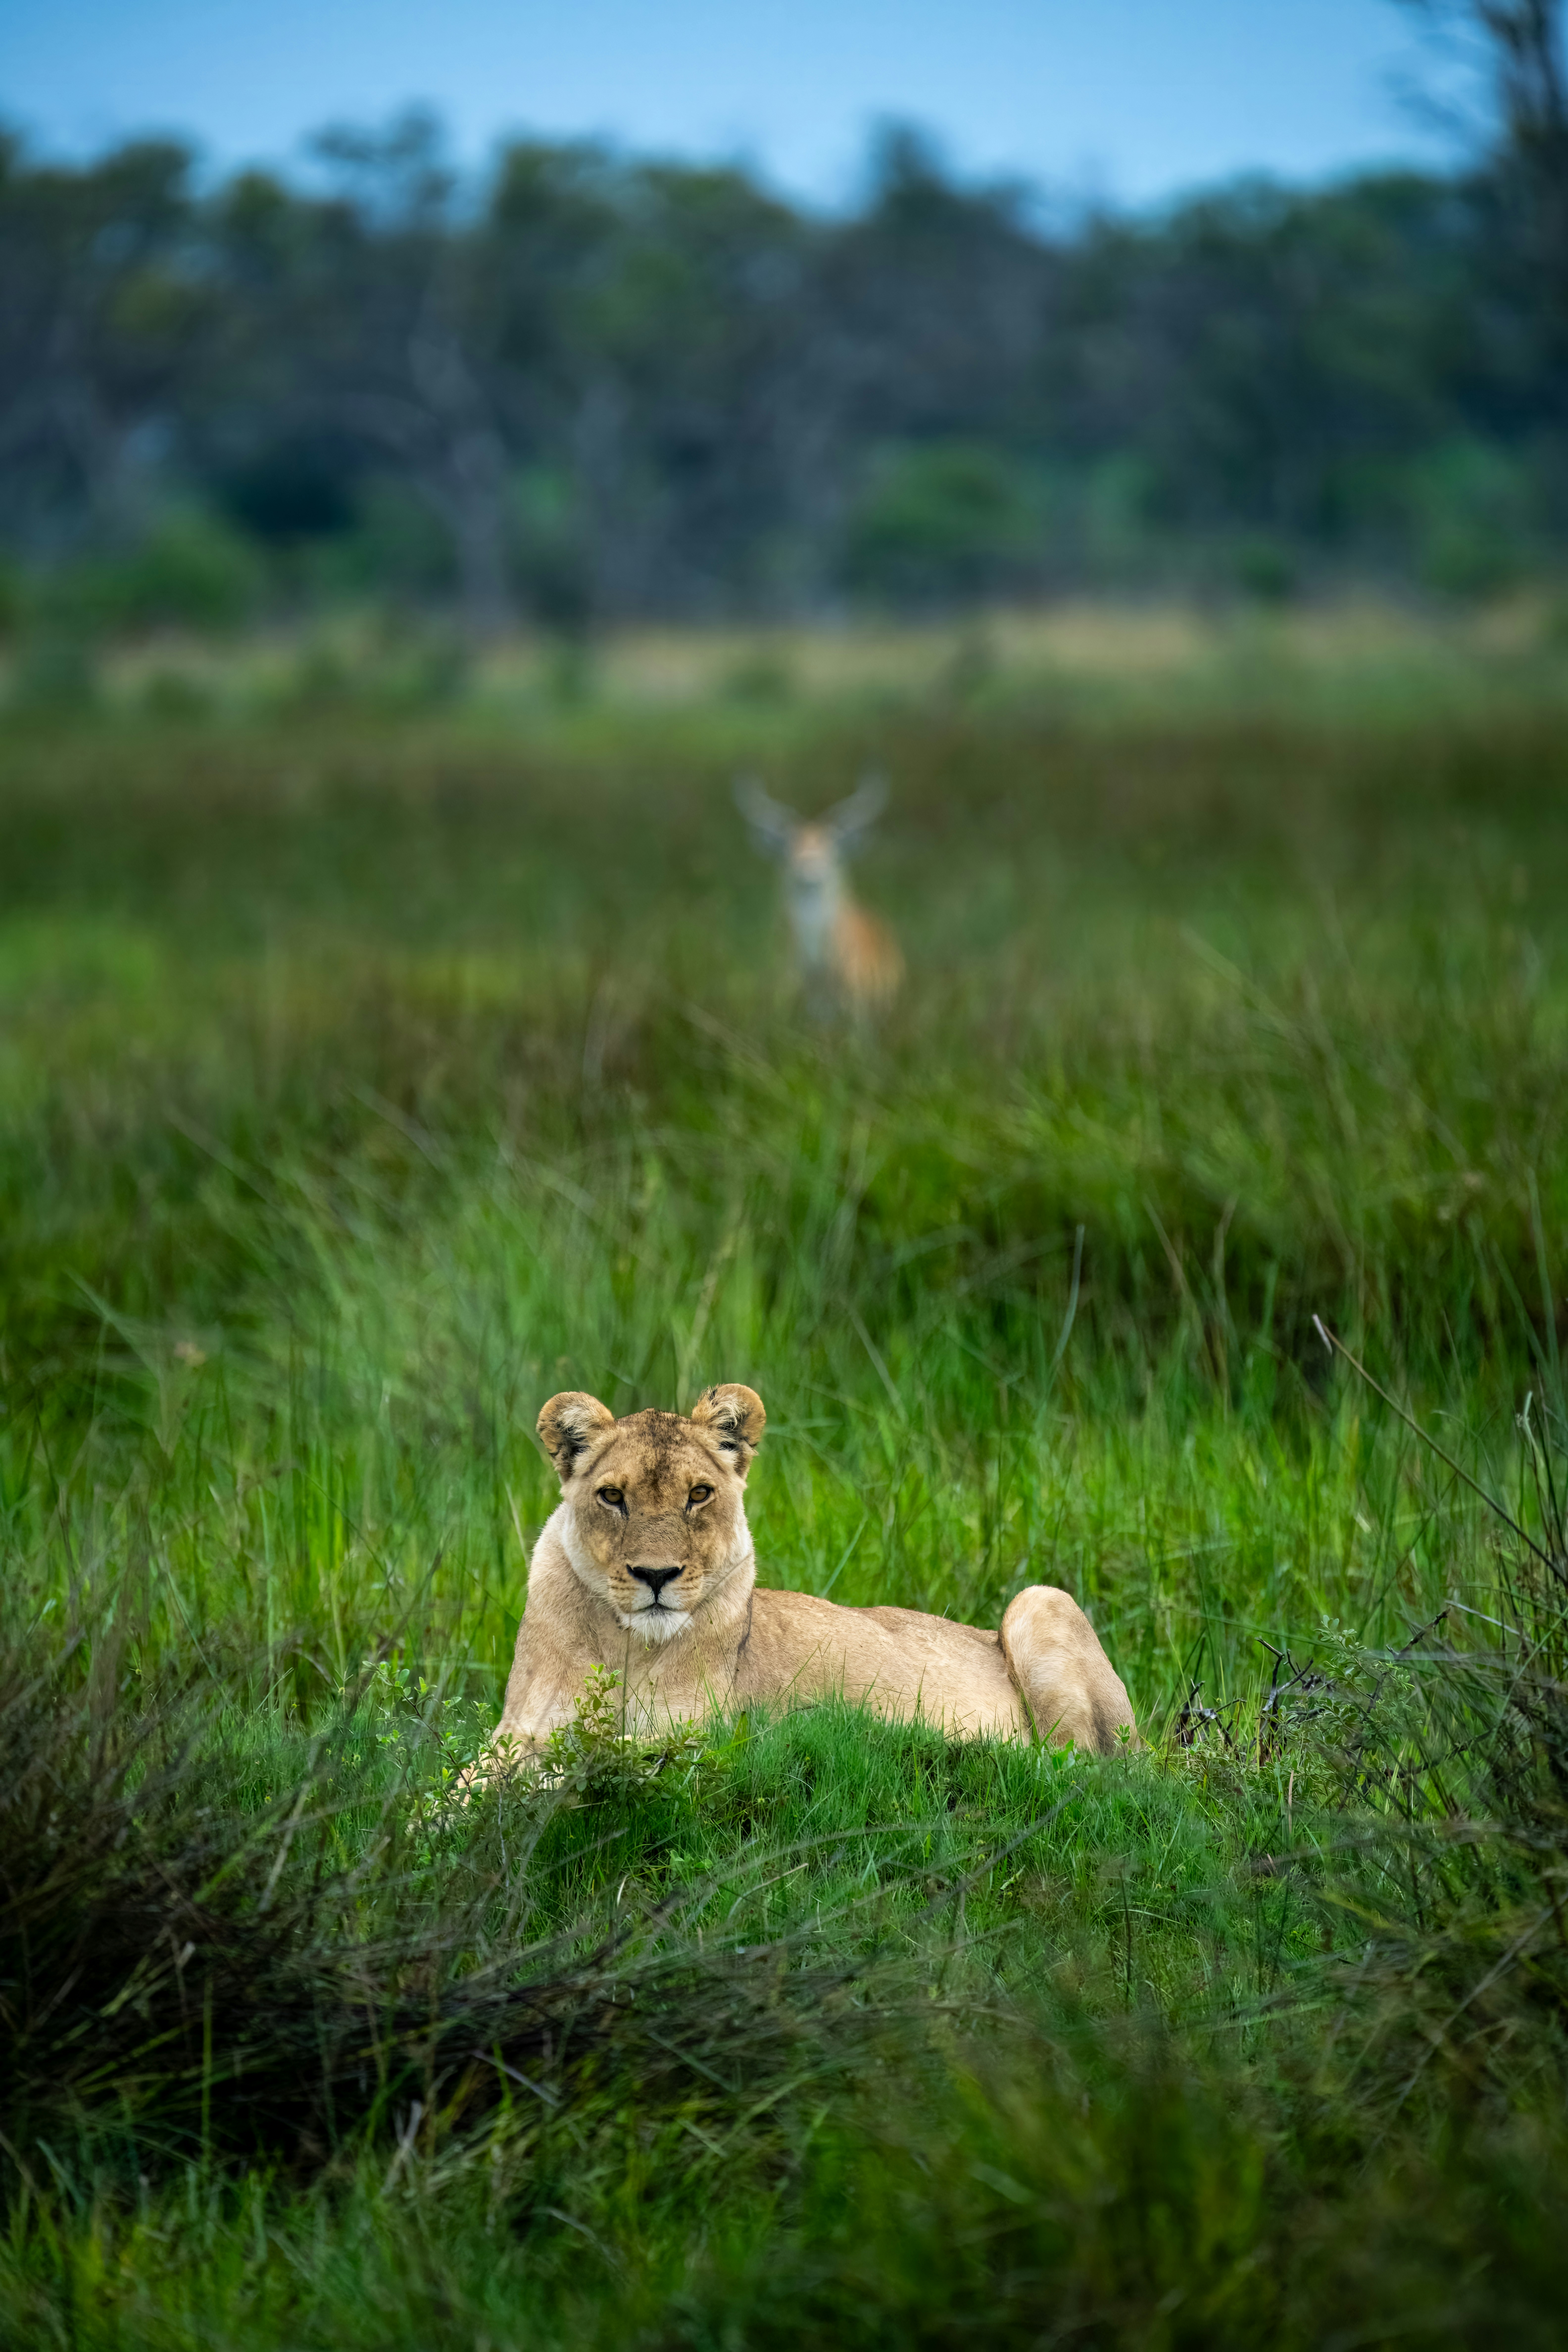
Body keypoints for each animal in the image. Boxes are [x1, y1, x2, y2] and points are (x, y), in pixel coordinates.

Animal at [493, 1383, 1135, 1758]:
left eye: (699, 1494)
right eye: (612, 1496)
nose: (657, 1575)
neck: (628, 1646)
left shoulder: (701, 1730)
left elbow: (596, 1751)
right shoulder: (518, 1725)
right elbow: (495, 1770)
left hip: (1041, 1599)